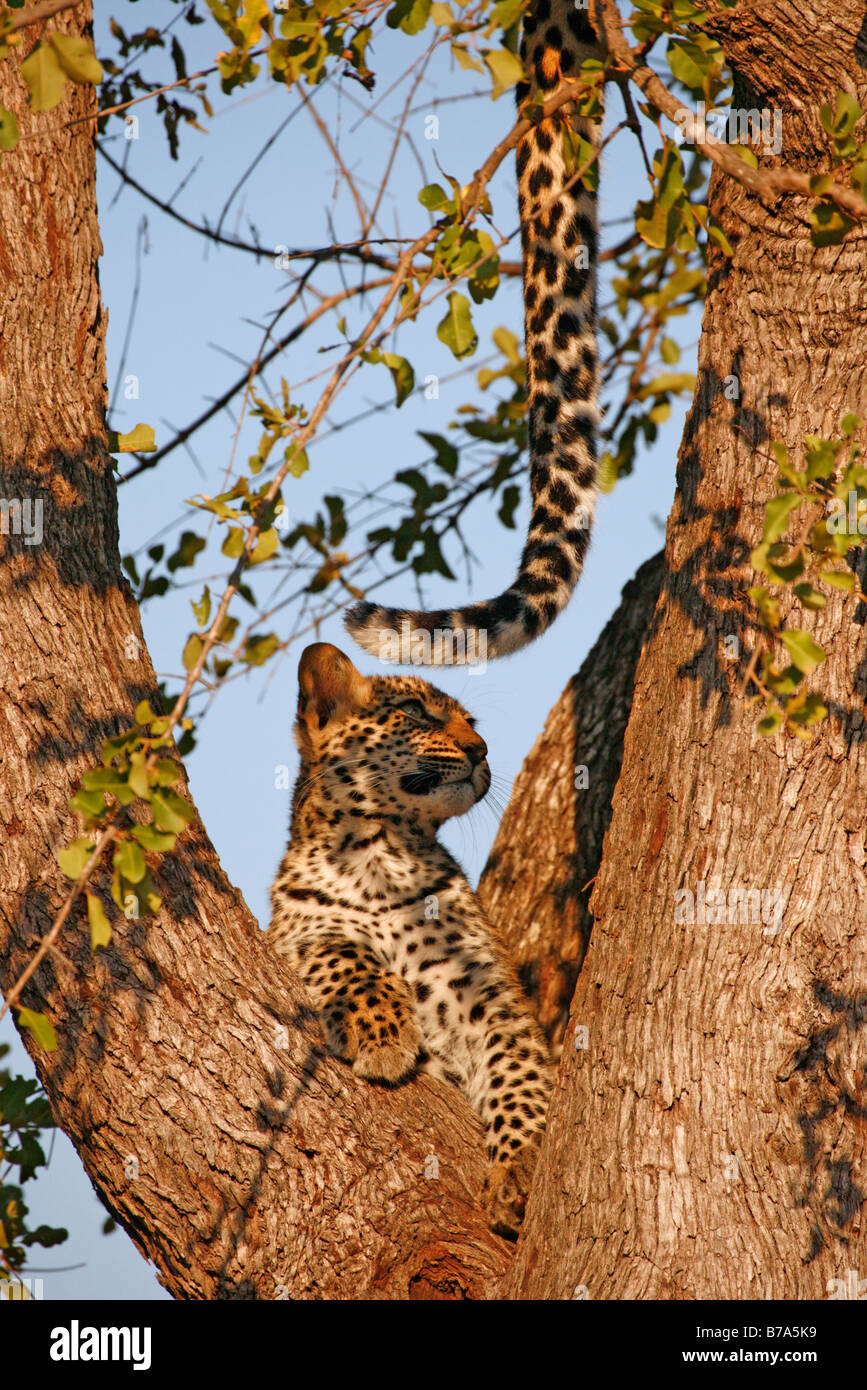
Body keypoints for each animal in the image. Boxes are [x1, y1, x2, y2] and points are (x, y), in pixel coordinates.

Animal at [267, 642, 553, 1238]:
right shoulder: (292, 932)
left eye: (472, 723)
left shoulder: (486, 991)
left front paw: (519, 1169)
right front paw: (383, 1038)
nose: (481, 750)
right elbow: (345, 955)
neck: (383, 853)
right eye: (416, 712)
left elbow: (520, 1072)